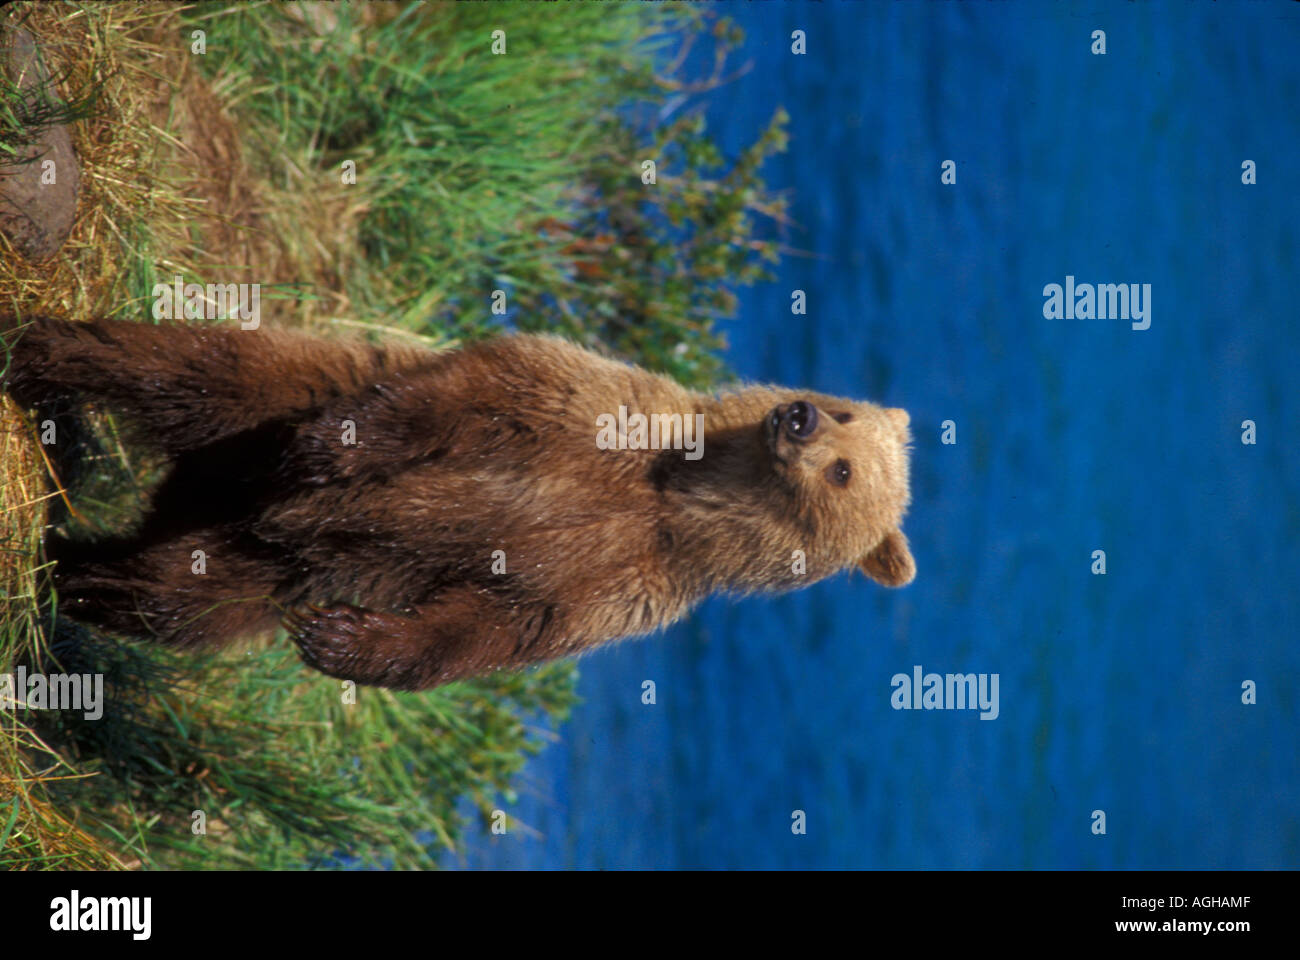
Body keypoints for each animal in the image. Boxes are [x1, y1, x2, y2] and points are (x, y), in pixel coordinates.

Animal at [4, 317, 914, 690]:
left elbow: (495, 625)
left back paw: (69, 577)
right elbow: (473, 392)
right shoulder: (590, 411)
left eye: (845, 473)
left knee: (172, 600)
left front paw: (343, 640)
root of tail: (202, 492)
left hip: (256, 567)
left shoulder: (615, 582)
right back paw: (39, 351)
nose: (797, 417)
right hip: (278, 397)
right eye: (847, 415)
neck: (680, 492)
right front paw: (335, 451)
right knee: (188, 367)